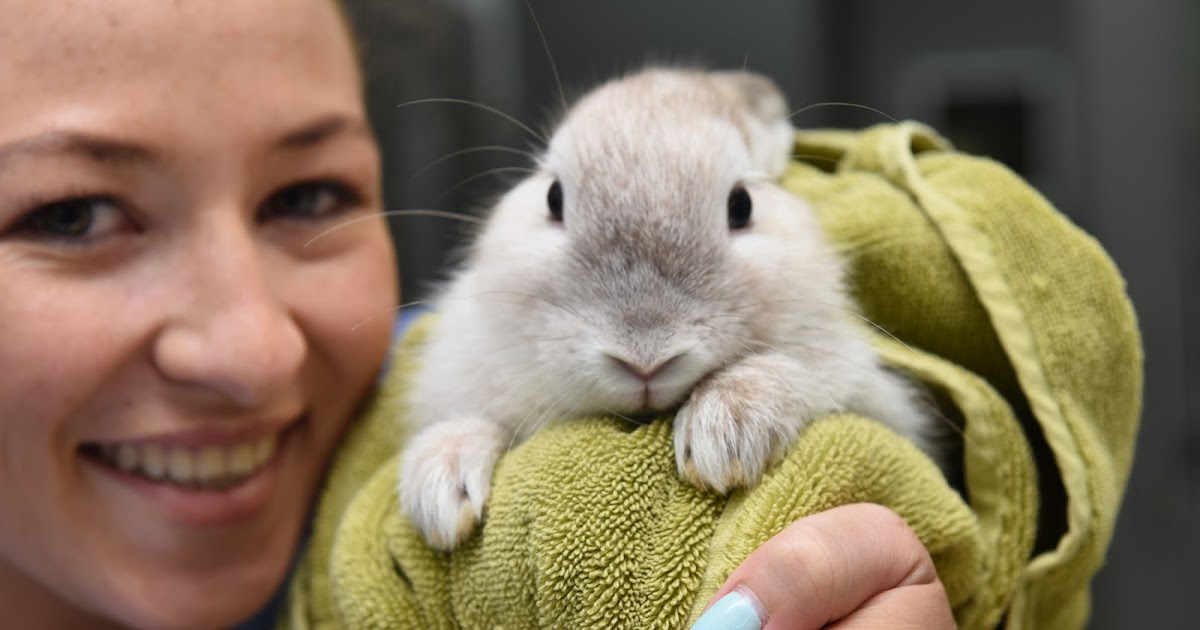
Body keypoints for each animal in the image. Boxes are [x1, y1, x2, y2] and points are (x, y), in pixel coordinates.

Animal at [397, 67, 937, 551]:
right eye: (552, 197)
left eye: (742, 205)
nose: (644, 360)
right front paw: (439, 490)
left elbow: (799, 370)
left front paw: (725, 435)